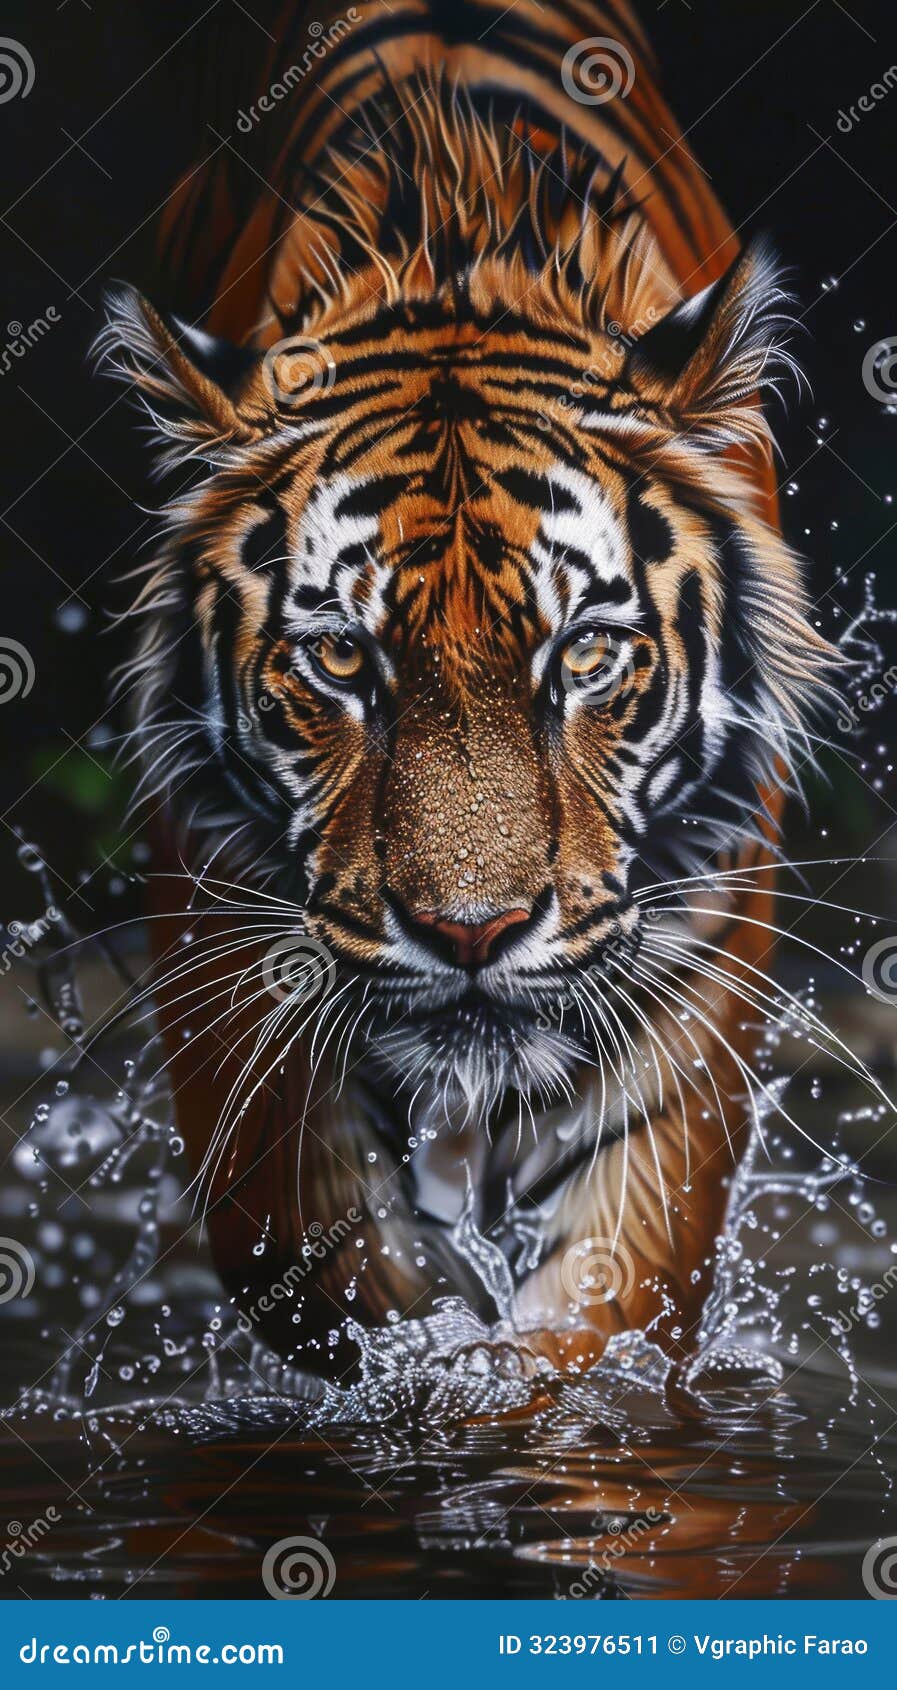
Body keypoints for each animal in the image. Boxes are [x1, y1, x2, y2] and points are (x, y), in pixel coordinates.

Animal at [100, 0, 837, 1379]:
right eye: (342, 657)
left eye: (584, 655)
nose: (473, 935)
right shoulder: (227, 950)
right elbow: (324, 1257)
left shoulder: (692, 963)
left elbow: (607, 1305)